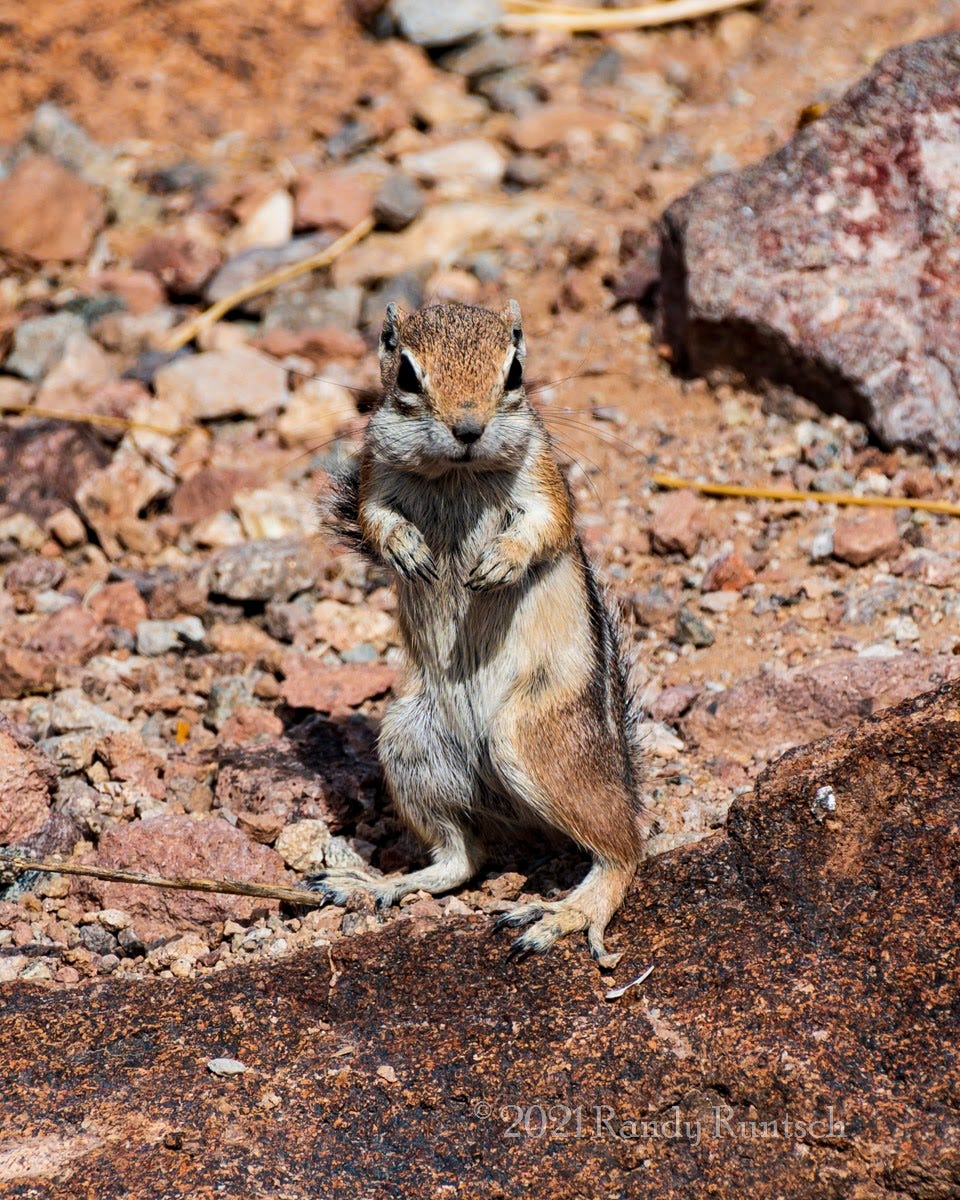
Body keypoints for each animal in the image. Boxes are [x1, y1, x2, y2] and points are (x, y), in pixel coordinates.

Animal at [308, 301, 647, 965]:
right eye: (407, 374)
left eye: (514, 370)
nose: (468, 428)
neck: (454, 474)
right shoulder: (373, 472)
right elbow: (376, 518)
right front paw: (406, 550)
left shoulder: (544, 476)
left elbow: (547, 525)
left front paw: (498, 563)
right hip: (410, 746)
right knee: (464, 858)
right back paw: (378, 884)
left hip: (530, 740)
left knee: (625, 851)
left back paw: (565, 914)